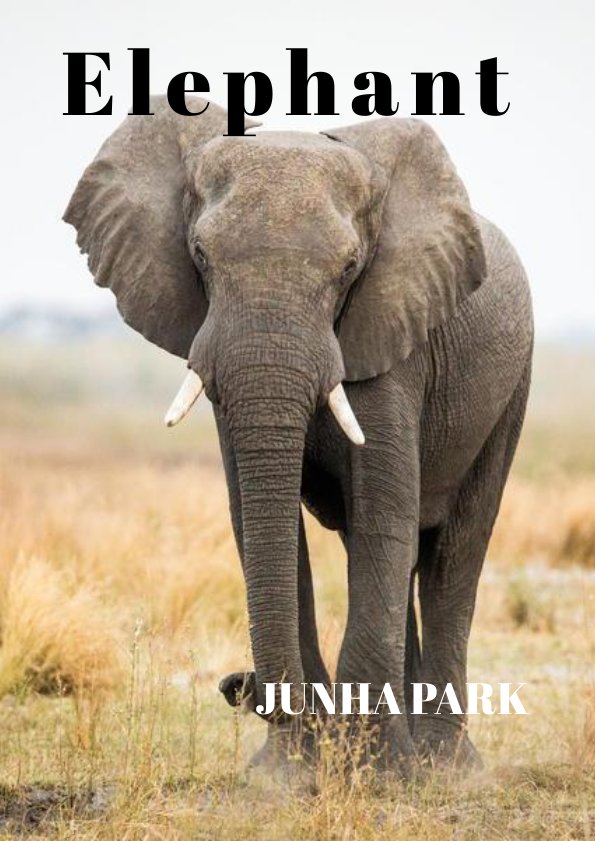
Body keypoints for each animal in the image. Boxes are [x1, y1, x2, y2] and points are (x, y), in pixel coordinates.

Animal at [64, 96, 533, 774]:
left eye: (349, 268)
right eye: (199, 255)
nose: (238, 684)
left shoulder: (391, 333)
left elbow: (384, 515)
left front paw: (375, 775)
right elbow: (262, 517)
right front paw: (291, 774)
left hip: (513, 386)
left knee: (452, 553)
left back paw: (443, 767)